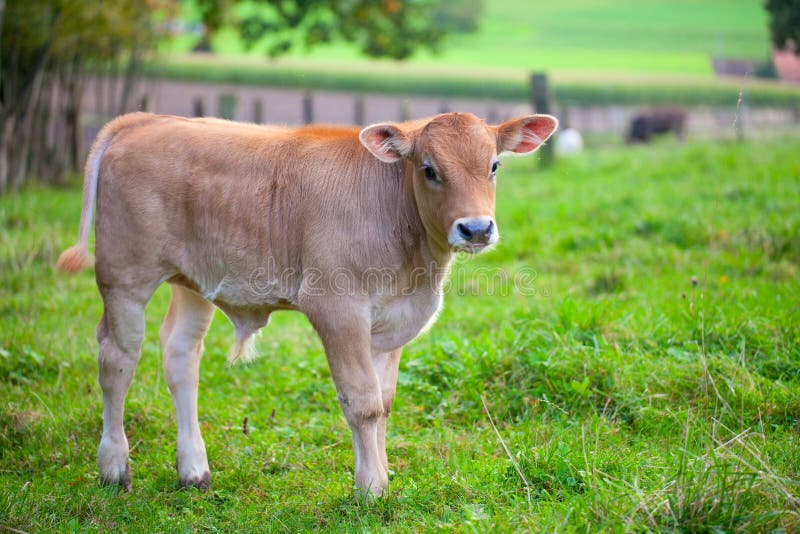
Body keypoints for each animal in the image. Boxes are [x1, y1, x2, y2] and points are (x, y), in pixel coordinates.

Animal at [56, 111, 557, 497]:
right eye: (429, 169)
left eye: (494, 165)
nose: (476, 229)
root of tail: (144, 120)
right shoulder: (337, 309)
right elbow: (362, 402)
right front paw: (372, 490)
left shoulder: (391, 322)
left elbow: (384, 402)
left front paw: (382, 475)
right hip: (124, 277)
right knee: (117, 360)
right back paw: (114, 467)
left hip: (194, 282)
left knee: (180, 356)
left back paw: (194, 471)